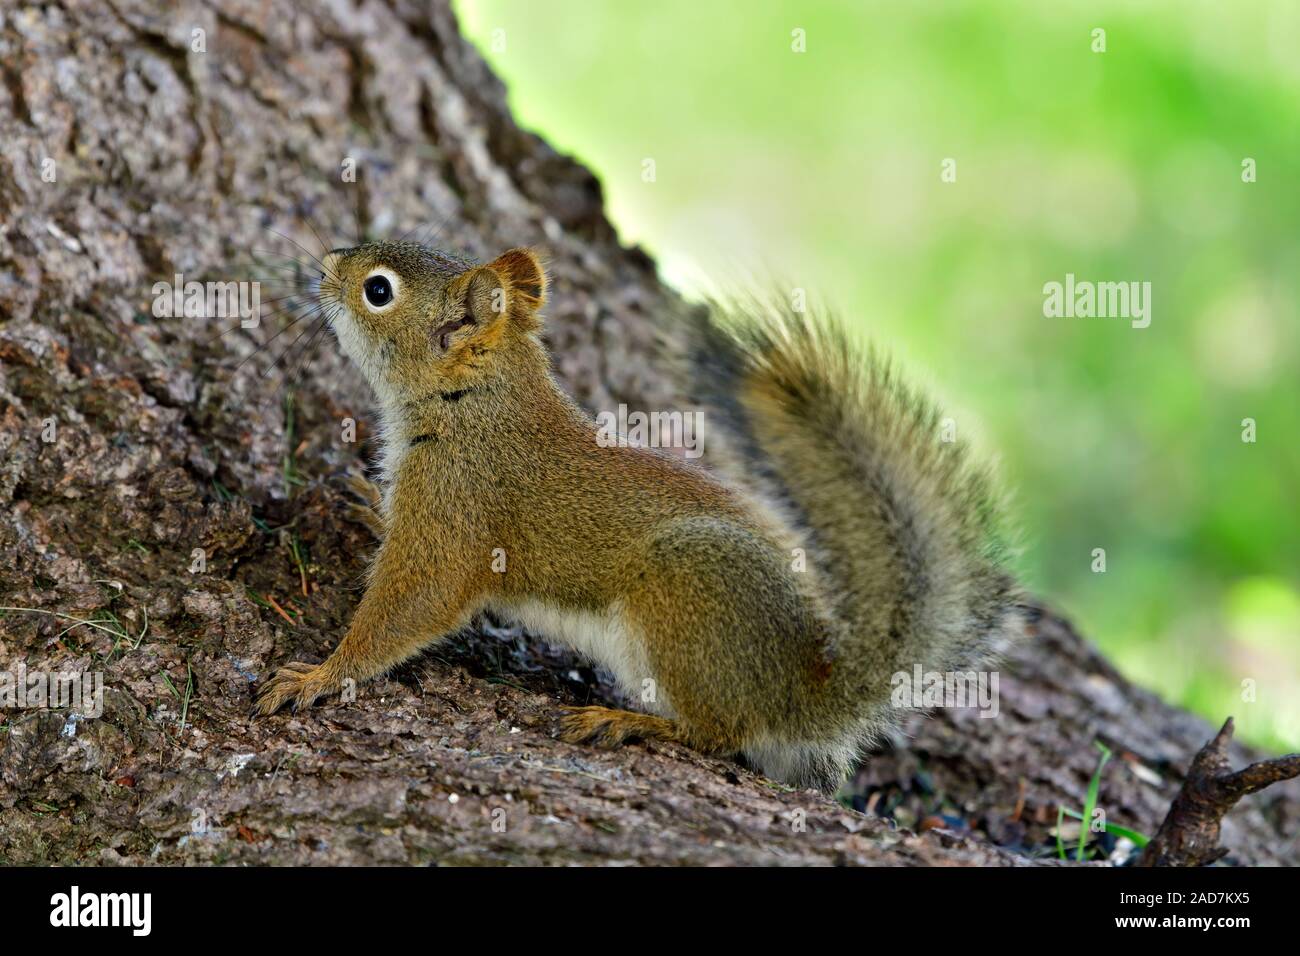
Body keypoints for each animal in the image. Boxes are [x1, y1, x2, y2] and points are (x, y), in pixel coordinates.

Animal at [254, 241, 1025, 791]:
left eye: (377, 290)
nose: (324, 266)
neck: (478, 400)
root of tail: (803, 690)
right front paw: (367, 503)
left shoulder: (459, 505)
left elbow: (413, 604)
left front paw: (320, 676)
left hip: (687, 593)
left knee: (720, 734)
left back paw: (628, 723)